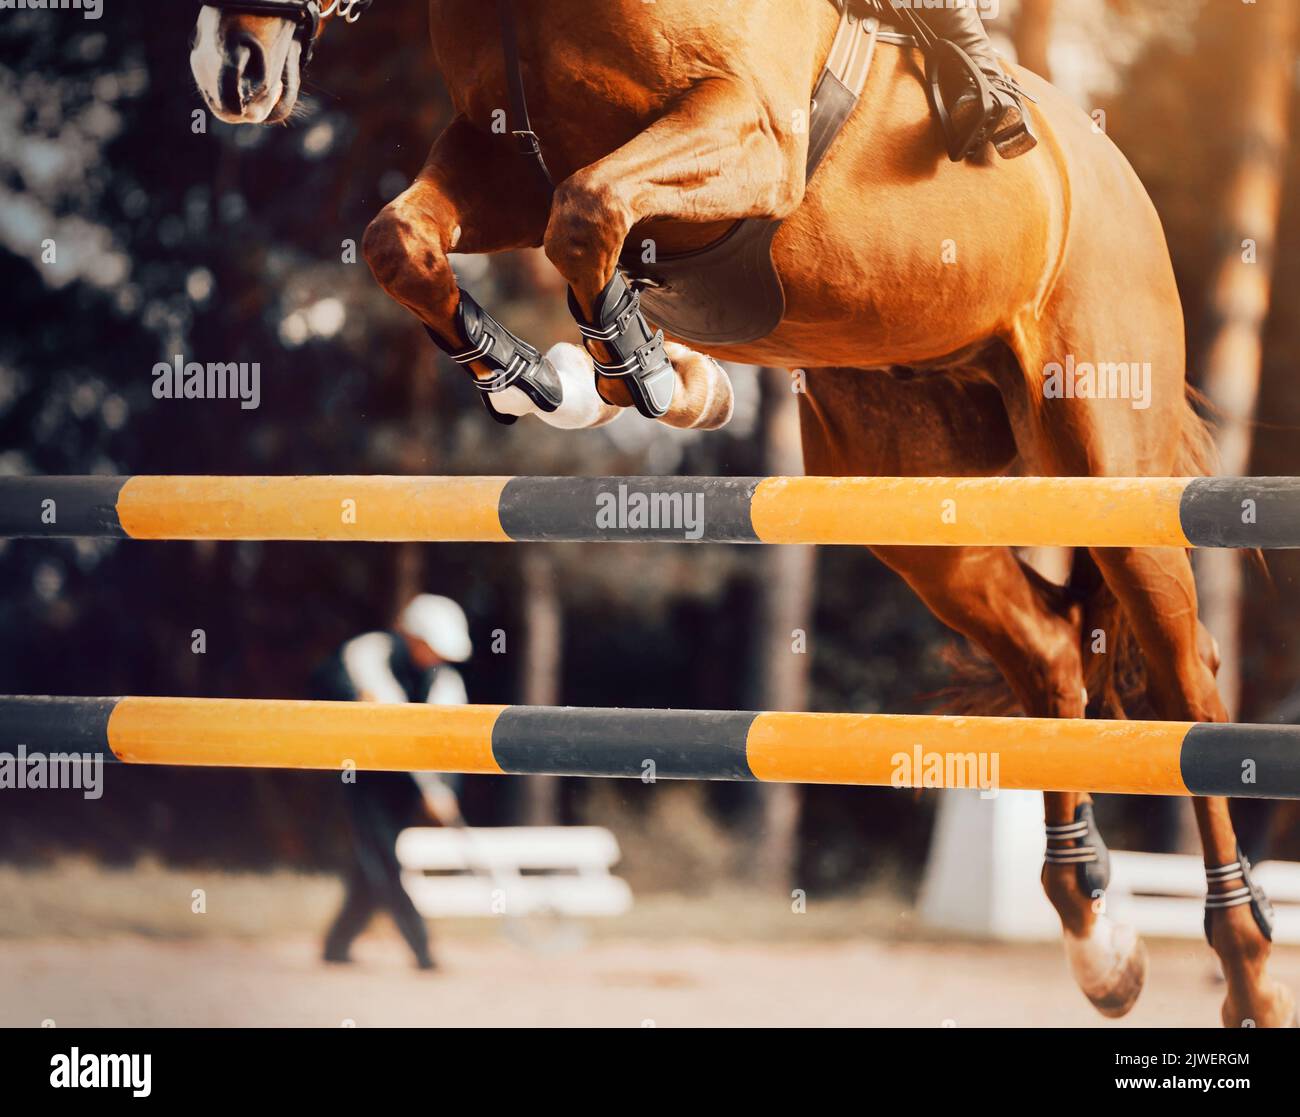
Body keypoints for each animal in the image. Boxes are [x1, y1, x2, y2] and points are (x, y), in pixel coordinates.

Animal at [190, 0, 1296, 1026]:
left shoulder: (746, 134)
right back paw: (1094, 932)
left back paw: (1244, 962)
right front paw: (533, 374)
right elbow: (404, 238)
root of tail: (1113, 172)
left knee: (1186, 684)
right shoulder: (500, 154)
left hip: (1105, 453)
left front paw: (650, 376)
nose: (231, 73)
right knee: (1053, 654)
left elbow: (586, 212)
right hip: (915, 504)